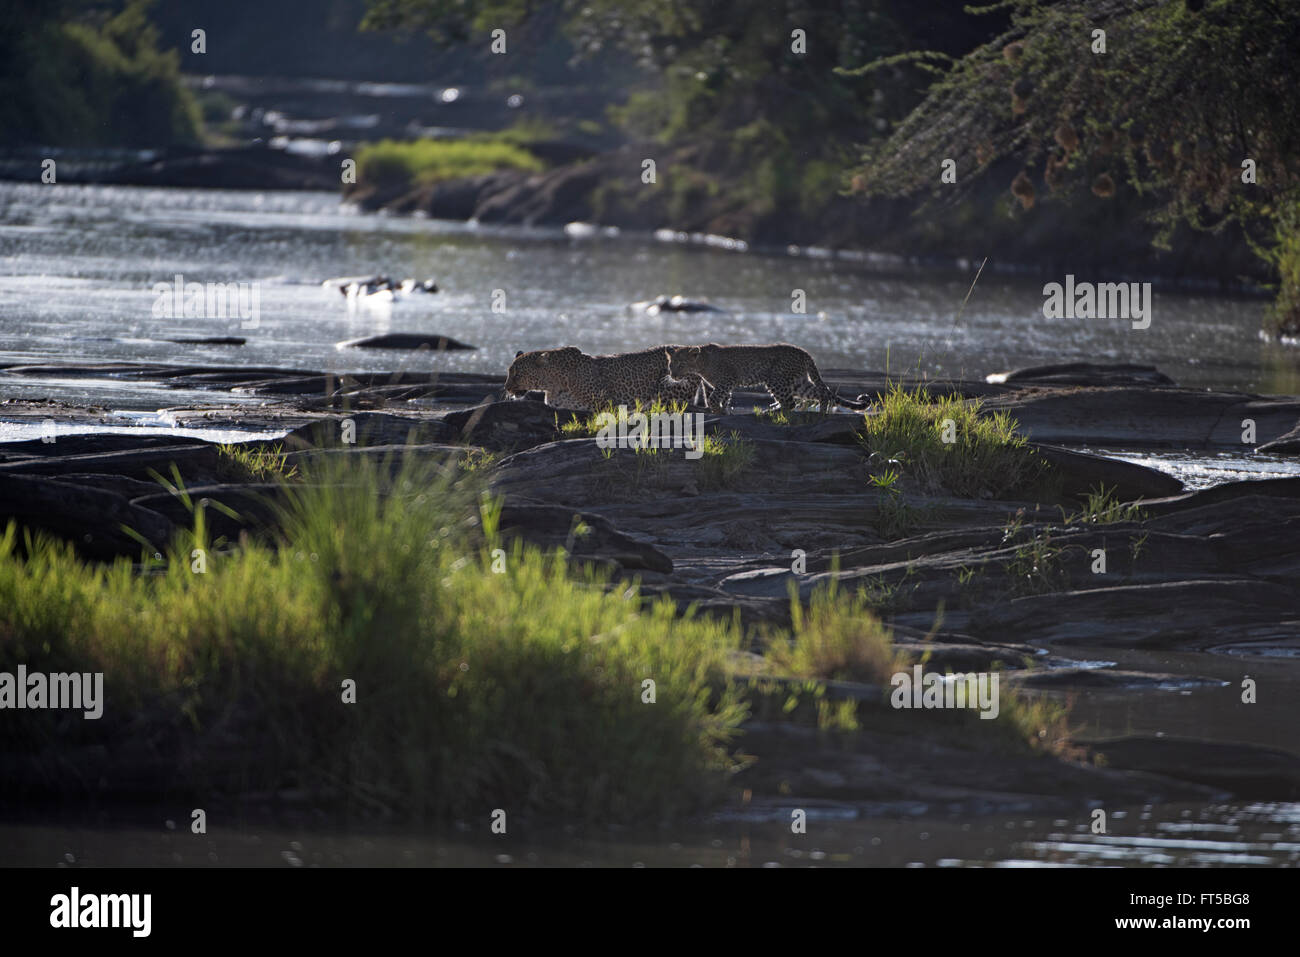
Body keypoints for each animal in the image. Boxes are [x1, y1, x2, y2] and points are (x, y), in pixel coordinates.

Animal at [665, 342, 871, 415]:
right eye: (671, 364)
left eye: (681, 364)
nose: (673, 375)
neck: (701, 364)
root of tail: (804, 352)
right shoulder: (715, 385)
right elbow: (714, 397)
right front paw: (720, 410)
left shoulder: (727, 380)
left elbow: (716, 397)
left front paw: (718, 410)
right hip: (797, 382)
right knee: (820, 393)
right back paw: (822, 411)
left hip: (776, 380)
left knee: (791, 403)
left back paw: (772, 411)